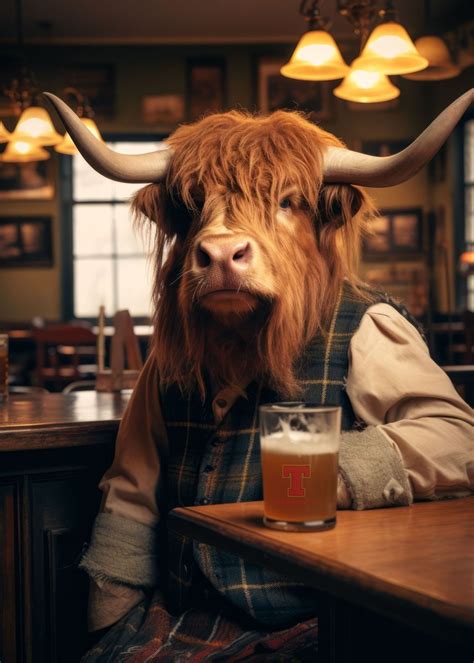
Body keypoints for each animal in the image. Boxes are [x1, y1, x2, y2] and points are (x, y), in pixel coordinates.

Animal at [44, 90, 473, 662]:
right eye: (191, 204)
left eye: (287, 201)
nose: (222, 254)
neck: (239, 338)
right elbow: (128, 498)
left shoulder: (387, 340)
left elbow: (442, 424)